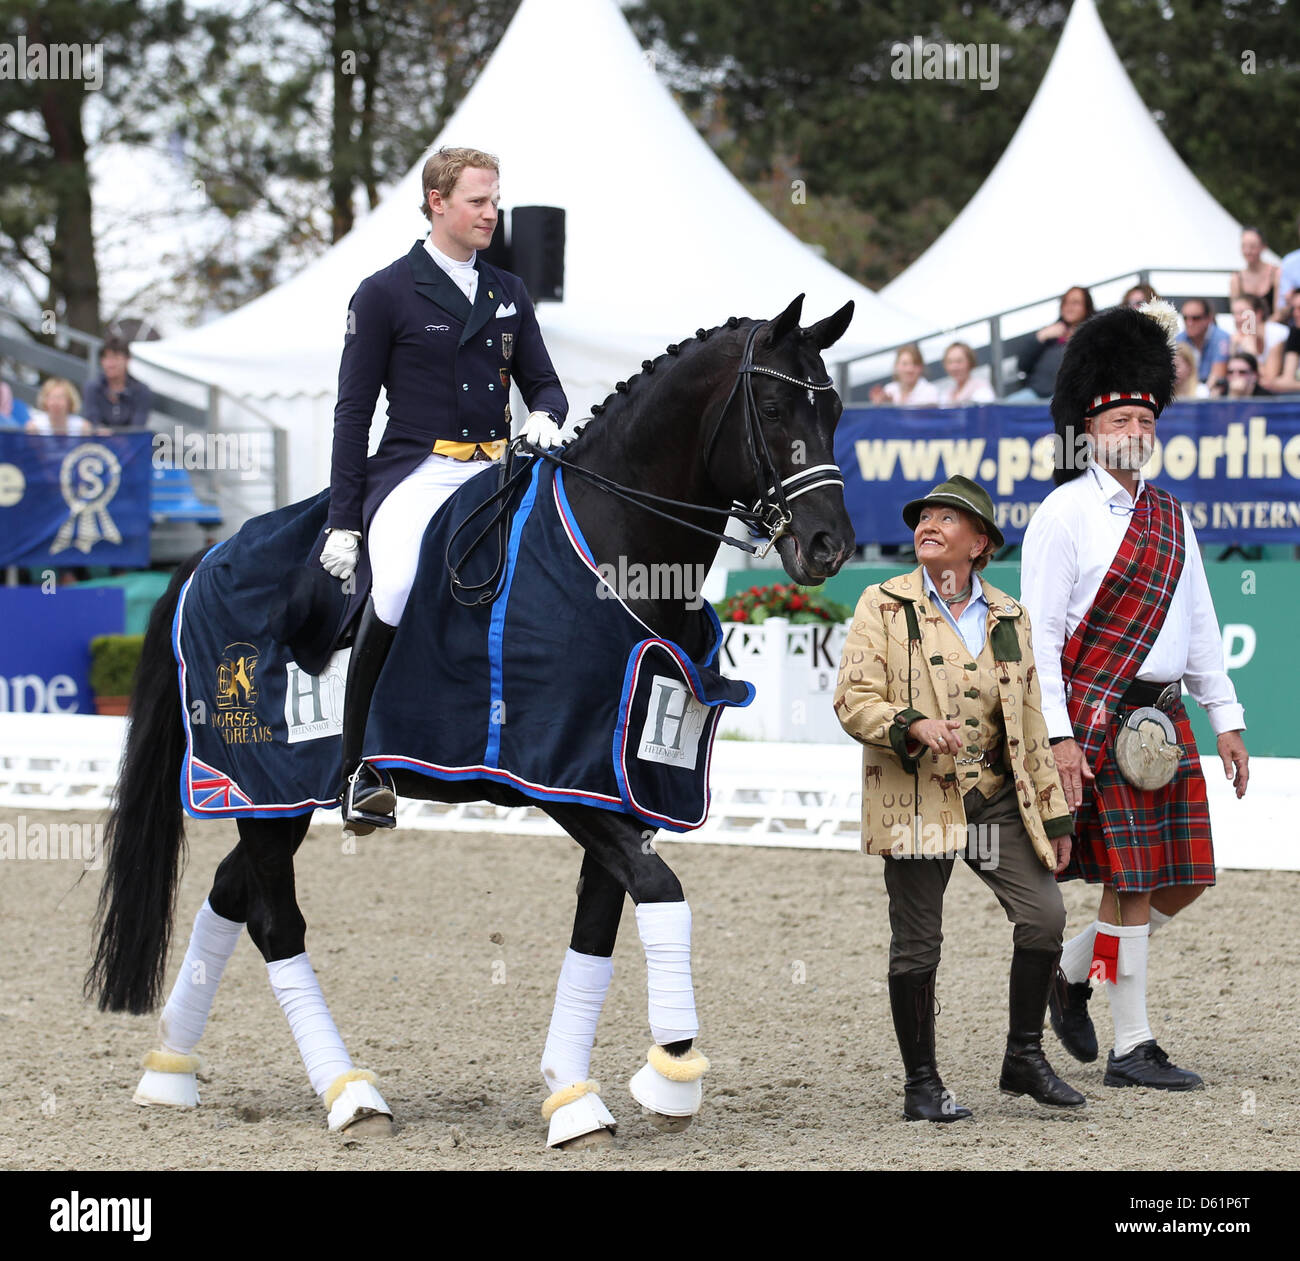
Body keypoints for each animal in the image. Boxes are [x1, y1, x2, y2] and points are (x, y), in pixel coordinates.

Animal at [86, 294, 858, 1149]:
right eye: (773, 407)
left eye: (835, 410)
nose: (830, 545)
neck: (612, 548)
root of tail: (206, 556)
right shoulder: (551, 776)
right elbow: (660, 891)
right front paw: (670, 1073)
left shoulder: (607, 784)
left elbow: (600, 925)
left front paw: (574, 1097)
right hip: (258, 785)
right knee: (275, 922)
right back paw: (350, 1097)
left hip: (279, 795)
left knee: (230, 895)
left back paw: (169, 1071)